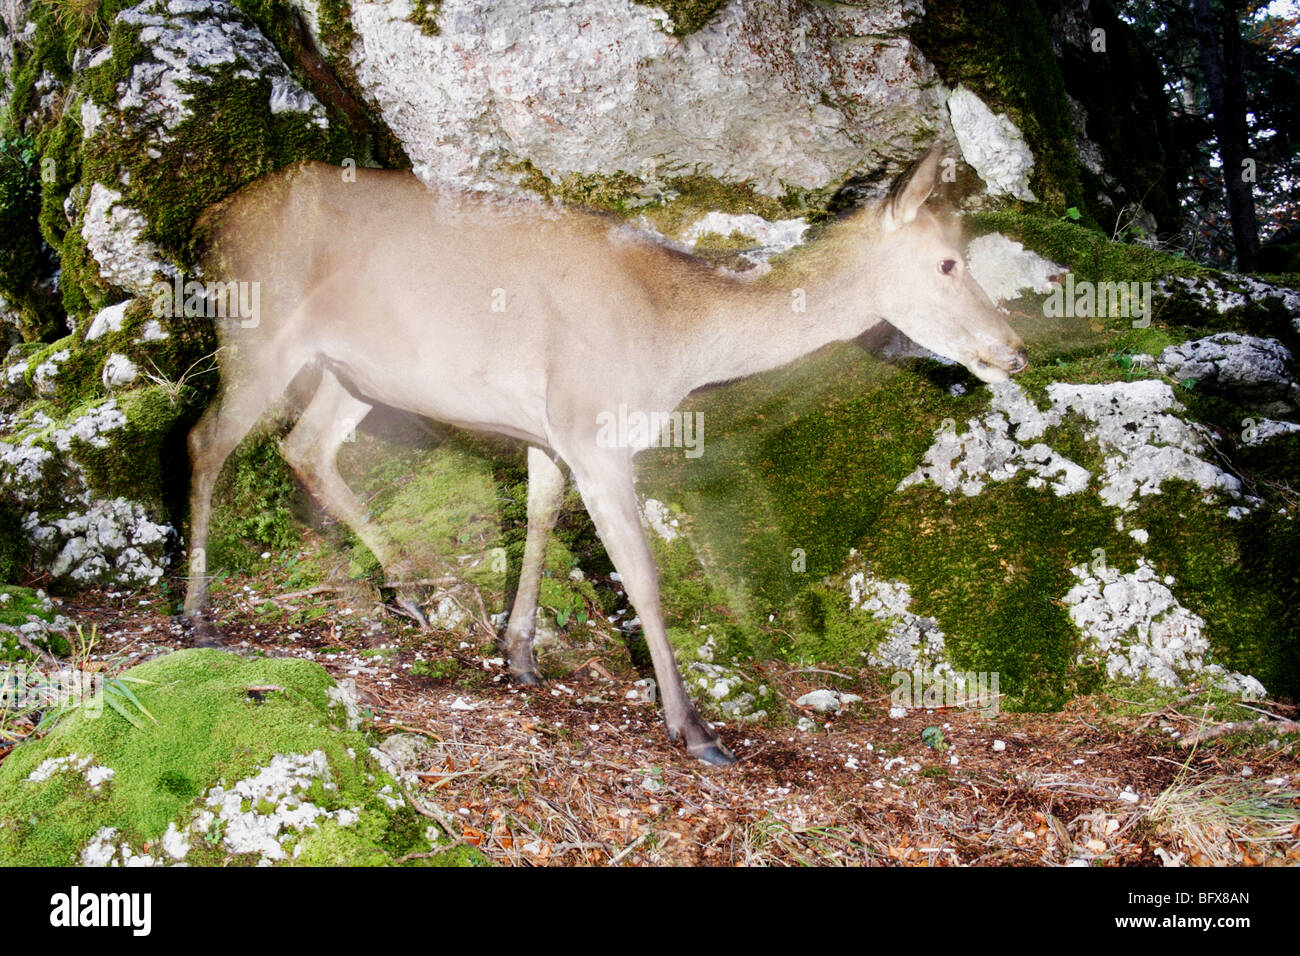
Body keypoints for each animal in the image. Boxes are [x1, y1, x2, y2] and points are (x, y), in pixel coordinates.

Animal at [181, 146, 1027, 766]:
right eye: (948, 263)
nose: (1013, 351)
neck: (677, 342)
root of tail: (211, 218)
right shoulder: (595, 428)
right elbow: (642, 576)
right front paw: (695, 729)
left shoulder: (552, 431)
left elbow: (537, 517)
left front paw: (518, 654)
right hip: (256, 329)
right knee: (204, 442)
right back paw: (196, 615)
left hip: (354, 373)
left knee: (304, 448)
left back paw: (414, 592)